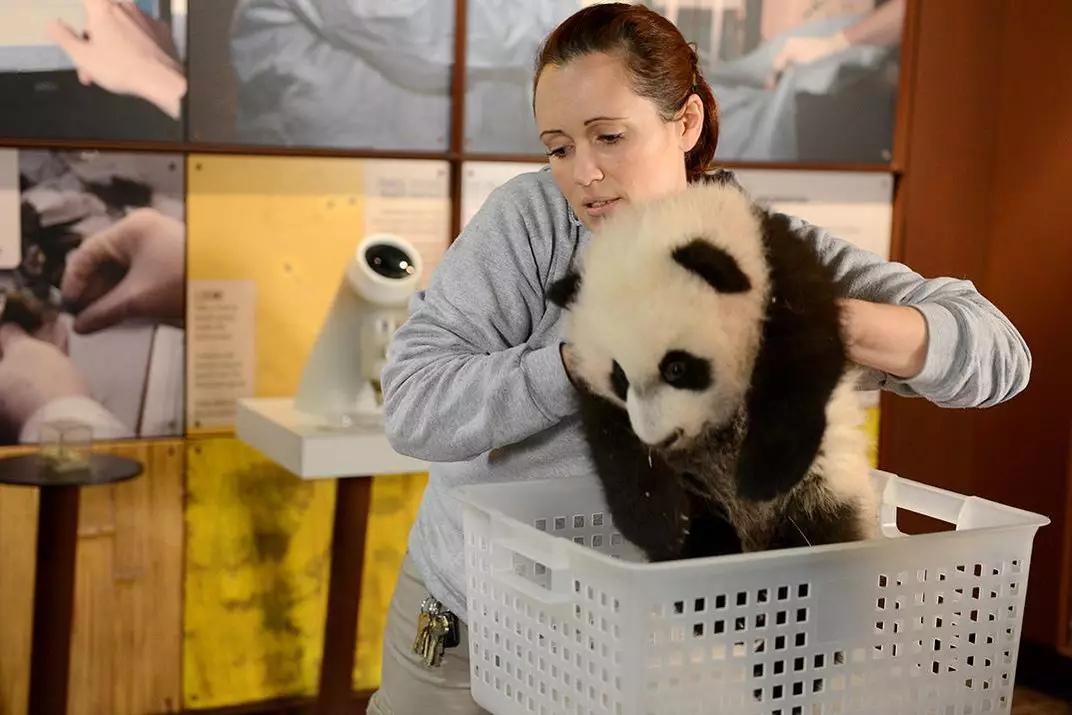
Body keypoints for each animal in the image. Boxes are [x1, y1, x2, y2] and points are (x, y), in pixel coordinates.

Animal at [548, 170, 874, 561]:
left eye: (677, 368)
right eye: (619, 378)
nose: (661, 439)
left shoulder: (783, 280)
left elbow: (801, 370)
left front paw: (763, 477)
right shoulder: (588, 379)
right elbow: (613, 441)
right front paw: (663, 525)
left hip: (823, 490)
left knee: (822, 529)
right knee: (705, 534)